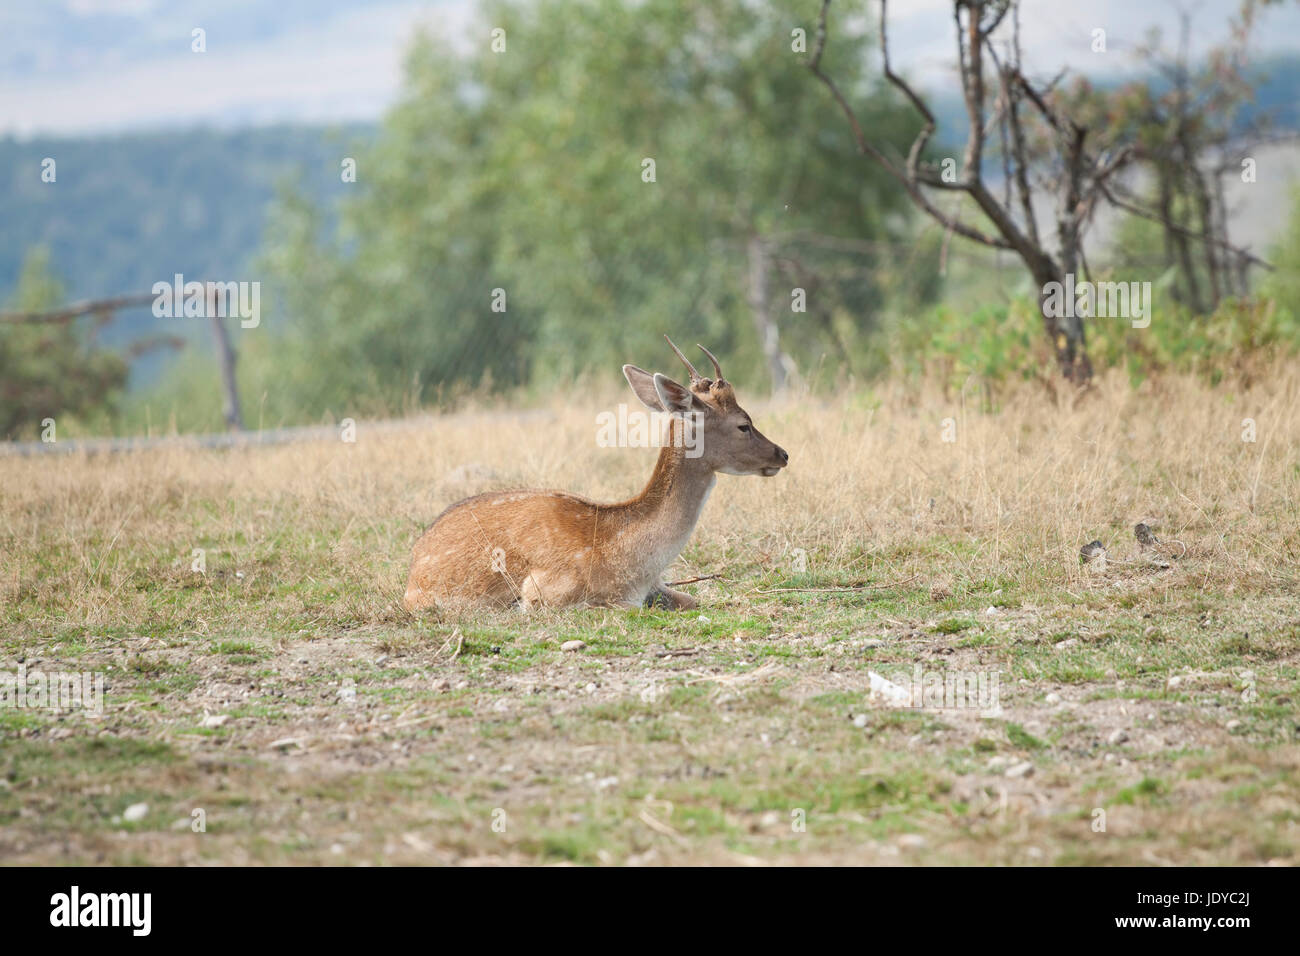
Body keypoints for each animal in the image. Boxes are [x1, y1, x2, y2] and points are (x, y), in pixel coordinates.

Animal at [403, 336, 788, 612]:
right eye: (743, 424)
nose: (782, 454)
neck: (637, 565)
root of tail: (414, 563)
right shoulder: (547, 591)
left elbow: (692, 599)